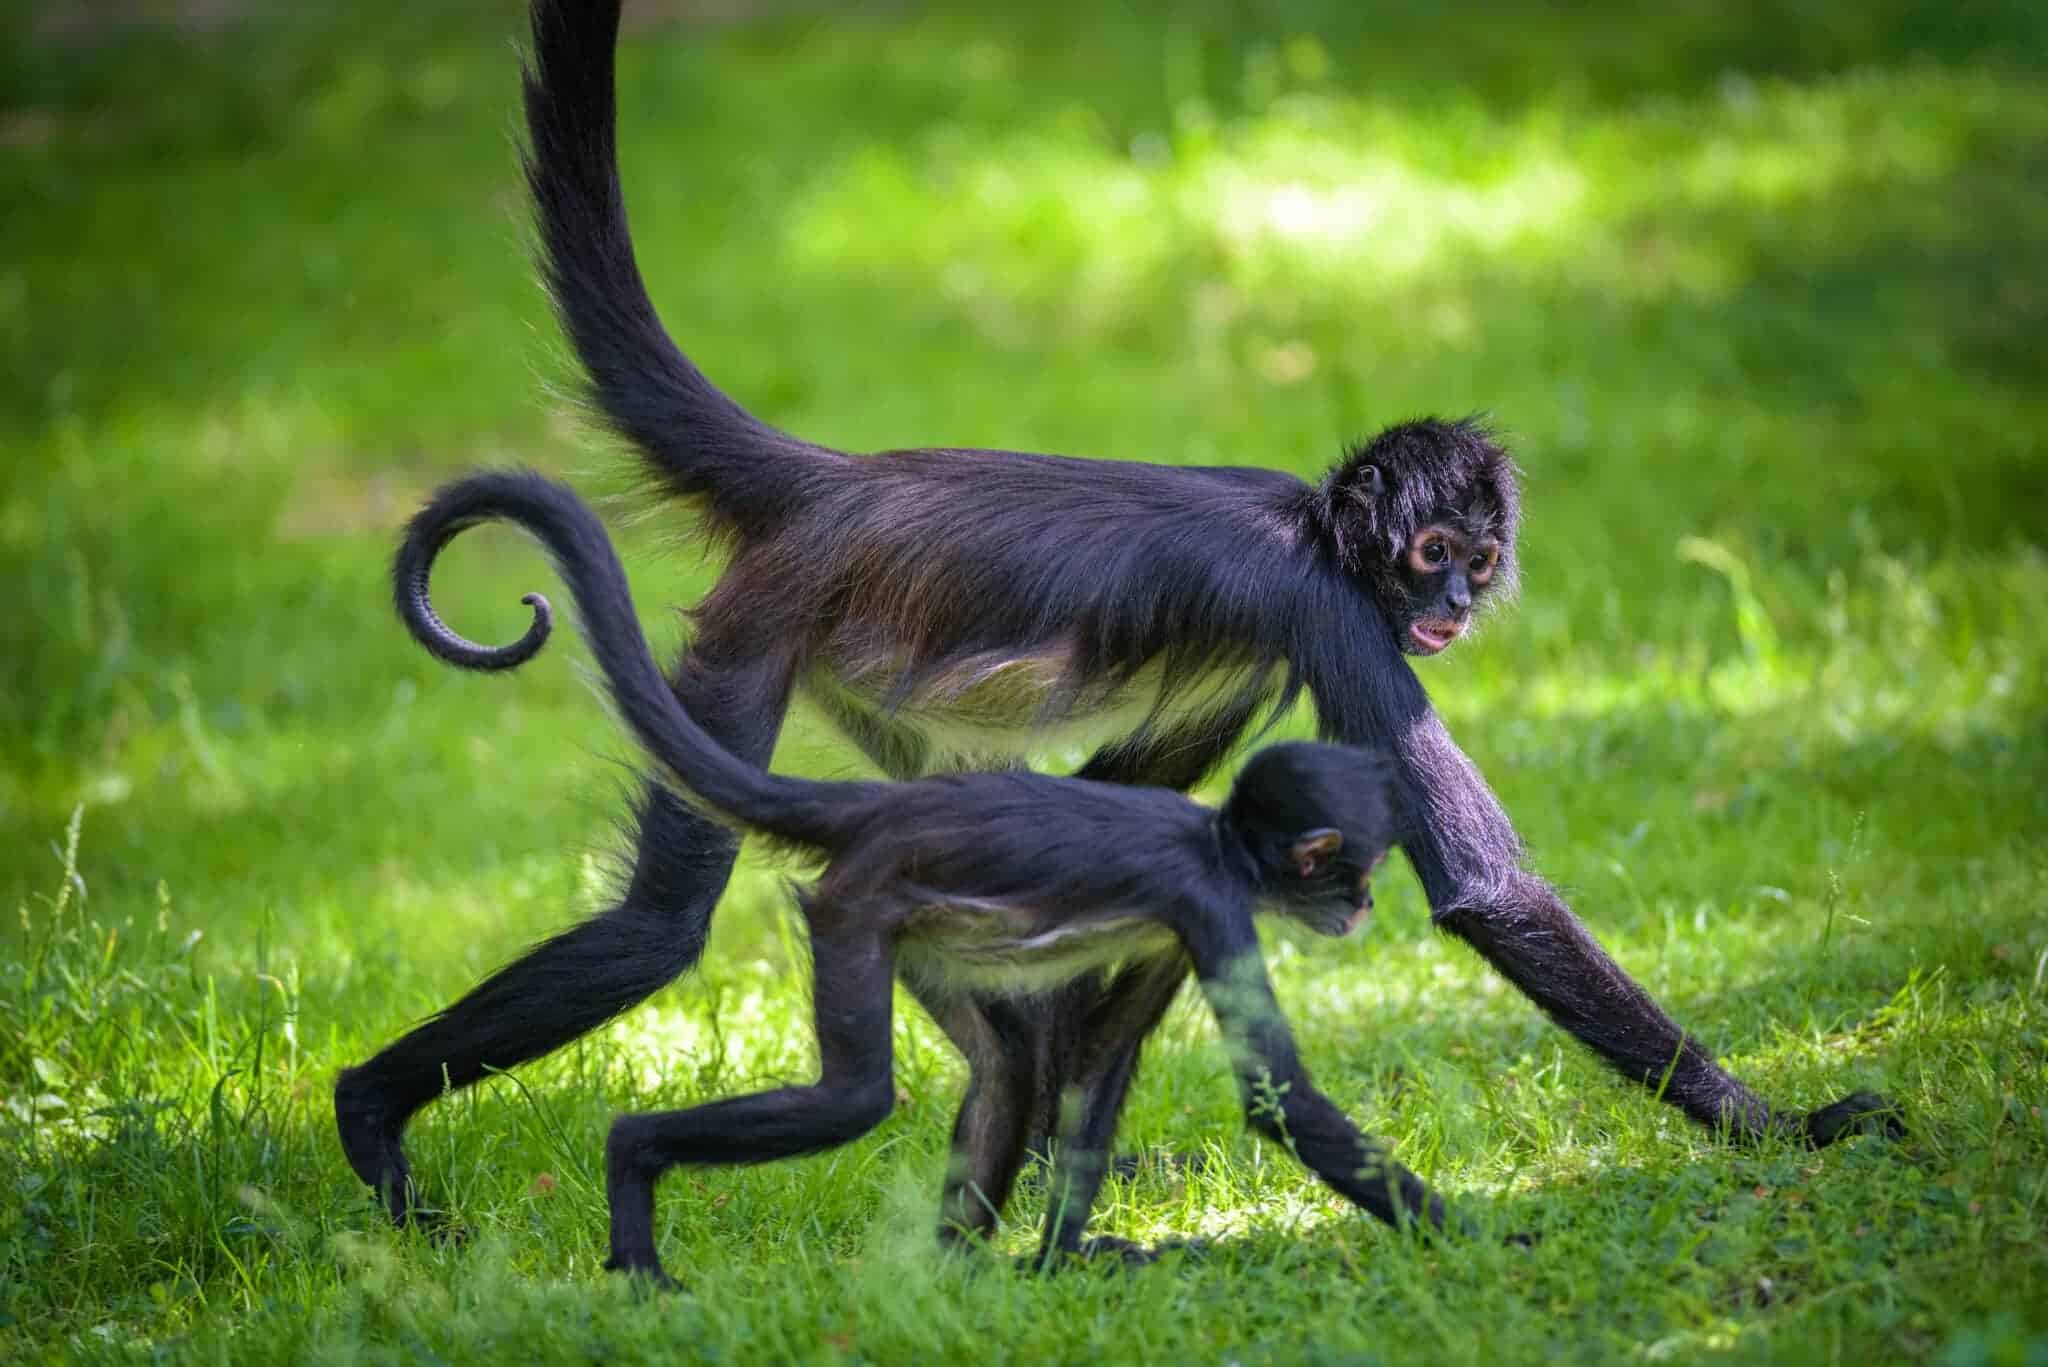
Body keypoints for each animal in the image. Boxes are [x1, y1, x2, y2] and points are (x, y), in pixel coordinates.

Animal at [391, 468, 1447, 1285]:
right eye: (1351, 868)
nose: (1362, 906)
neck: (1221, 839)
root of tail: (876, 812)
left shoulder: (1183, 928)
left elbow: (1097, 1076)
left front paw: (1058, 1258)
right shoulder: (1214, 905)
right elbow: (1279, 1100)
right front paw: (1478, 1234)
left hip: (913, 922)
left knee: (1005, 1068)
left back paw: (961, 1267)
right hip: (855, 905)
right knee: (851, 1094)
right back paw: (634, 1168)